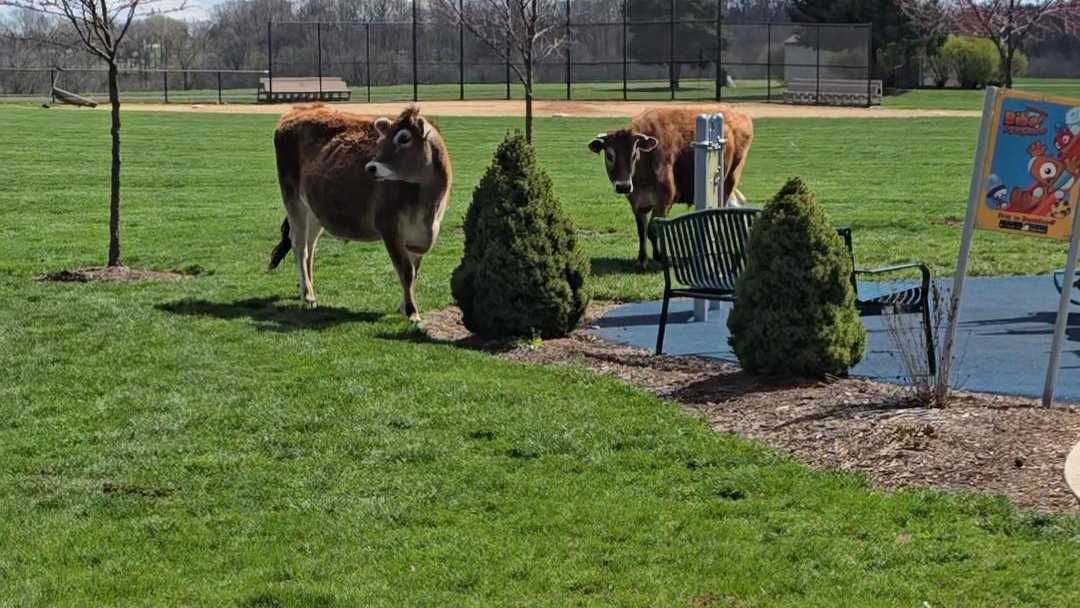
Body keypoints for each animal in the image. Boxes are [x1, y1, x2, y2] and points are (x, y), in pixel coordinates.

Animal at [268, 105, 452, 321]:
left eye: (404, 138)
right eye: (381, 140)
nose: (371, 167)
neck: (427, 205)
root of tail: (297, 110)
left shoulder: (421, 235)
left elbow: (414, 271)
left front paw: (404, 306)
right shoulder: (389, 228)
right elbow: (406, 271)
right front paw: (412, 312)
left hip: (314, 209)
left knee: (310, 246)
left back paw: (307, 288)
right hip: (293, 198)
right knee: (300, 246)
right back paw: (308, 294)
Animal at [588, 107, 753, 268]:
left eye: (634, 154)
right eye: (609, 155)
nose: (623, 186)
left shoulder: (665, 200)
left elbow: (653, 230)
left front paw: (660, 256)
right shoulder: (637, 203)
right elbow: (642, 230)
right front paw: (642, 259)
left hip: (729, 181)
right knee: (736, 204)